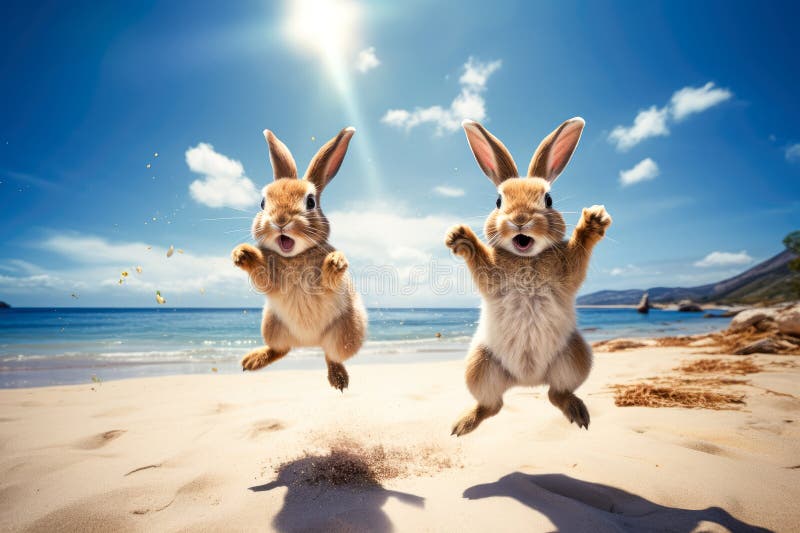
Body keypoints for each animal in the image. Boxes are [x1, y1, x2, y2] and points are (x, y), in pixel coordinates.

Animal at [232, 127, 367, 391]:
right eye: (263, 203)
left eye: (311, 202)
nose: (281, 220)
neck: (294, 257)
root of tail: (308, 342)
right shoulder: (271, 279)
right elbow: (262, 276)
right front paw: (242, 254)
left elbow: (328, 281)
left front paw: (335, 262)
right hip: (272, 326)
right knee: (281, 349)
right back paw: (252, 360)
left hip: (344, 333)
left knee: (331, 355)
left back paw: (339, 379)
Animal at [446, 117, 611, 436]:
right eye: (498, 201)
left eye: (548, 199)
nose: (520, 219)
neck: (527, 260)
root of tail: (526, 381)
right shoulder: (491, 278)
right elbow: (480, 263)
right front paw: (459, 237)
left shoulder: (568, 271)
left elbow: (579, 252)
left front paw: (594, 220)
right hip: (480, 366)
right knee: (493, 405)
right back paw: (463, 425)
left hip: (573, 358)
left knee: (556, 394)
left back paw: (577, 413)